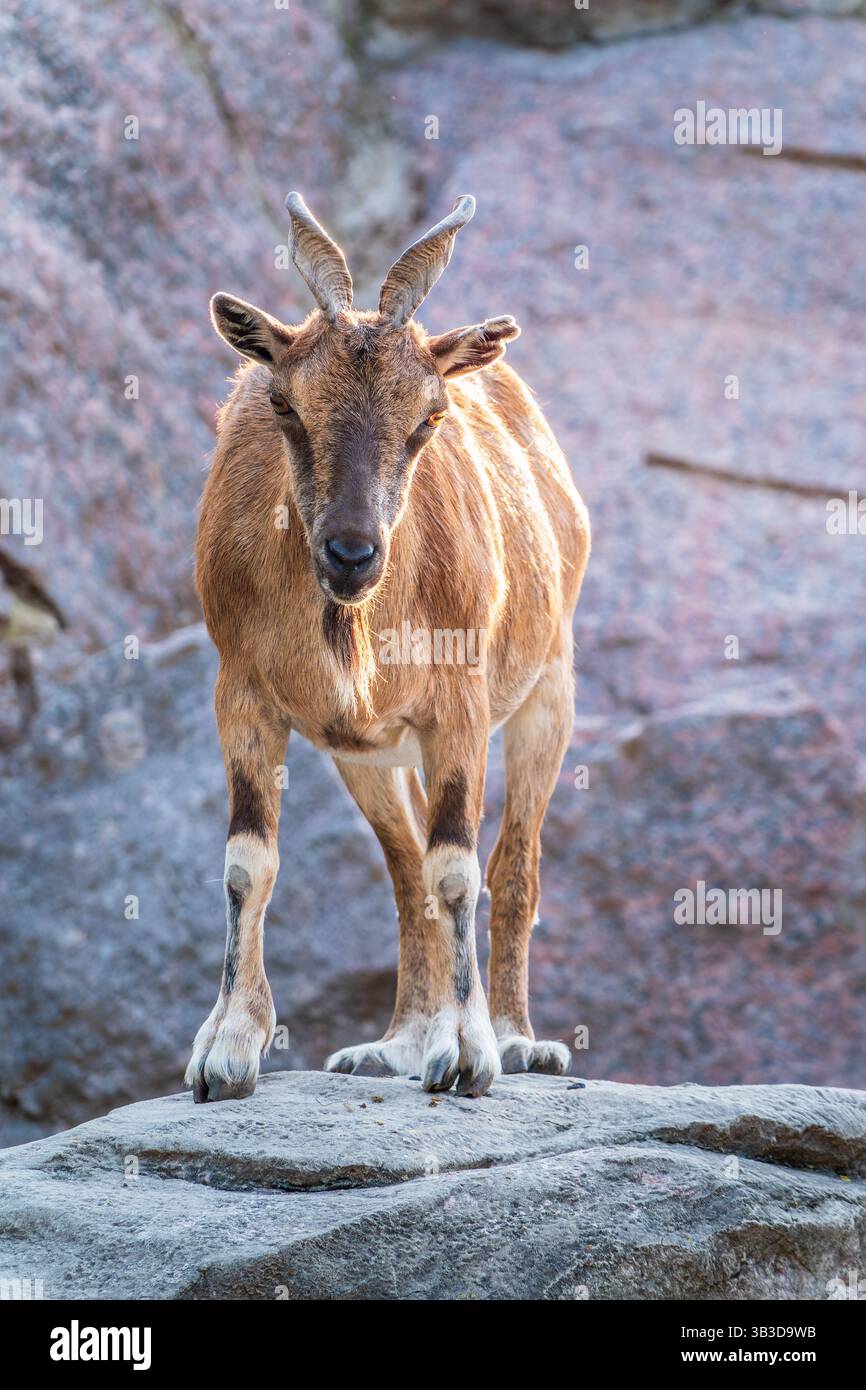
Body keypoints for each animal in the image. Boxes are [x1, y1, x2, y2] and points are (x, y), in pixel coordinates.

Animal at [185, 192, 590, 1101]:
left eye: (428, 419)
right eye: (285, 404)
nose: (350, 554)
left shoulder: (459, 706)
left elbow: (460, 868)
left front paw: (470, 1055)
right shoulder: (244, 693)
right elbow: (247, 861)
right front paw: (227, 1049)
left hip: (548, 691)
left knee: (514, 862)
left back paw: (517, 1039)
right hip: (367, 755)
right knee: (406, 874)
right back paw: (400, 1042)